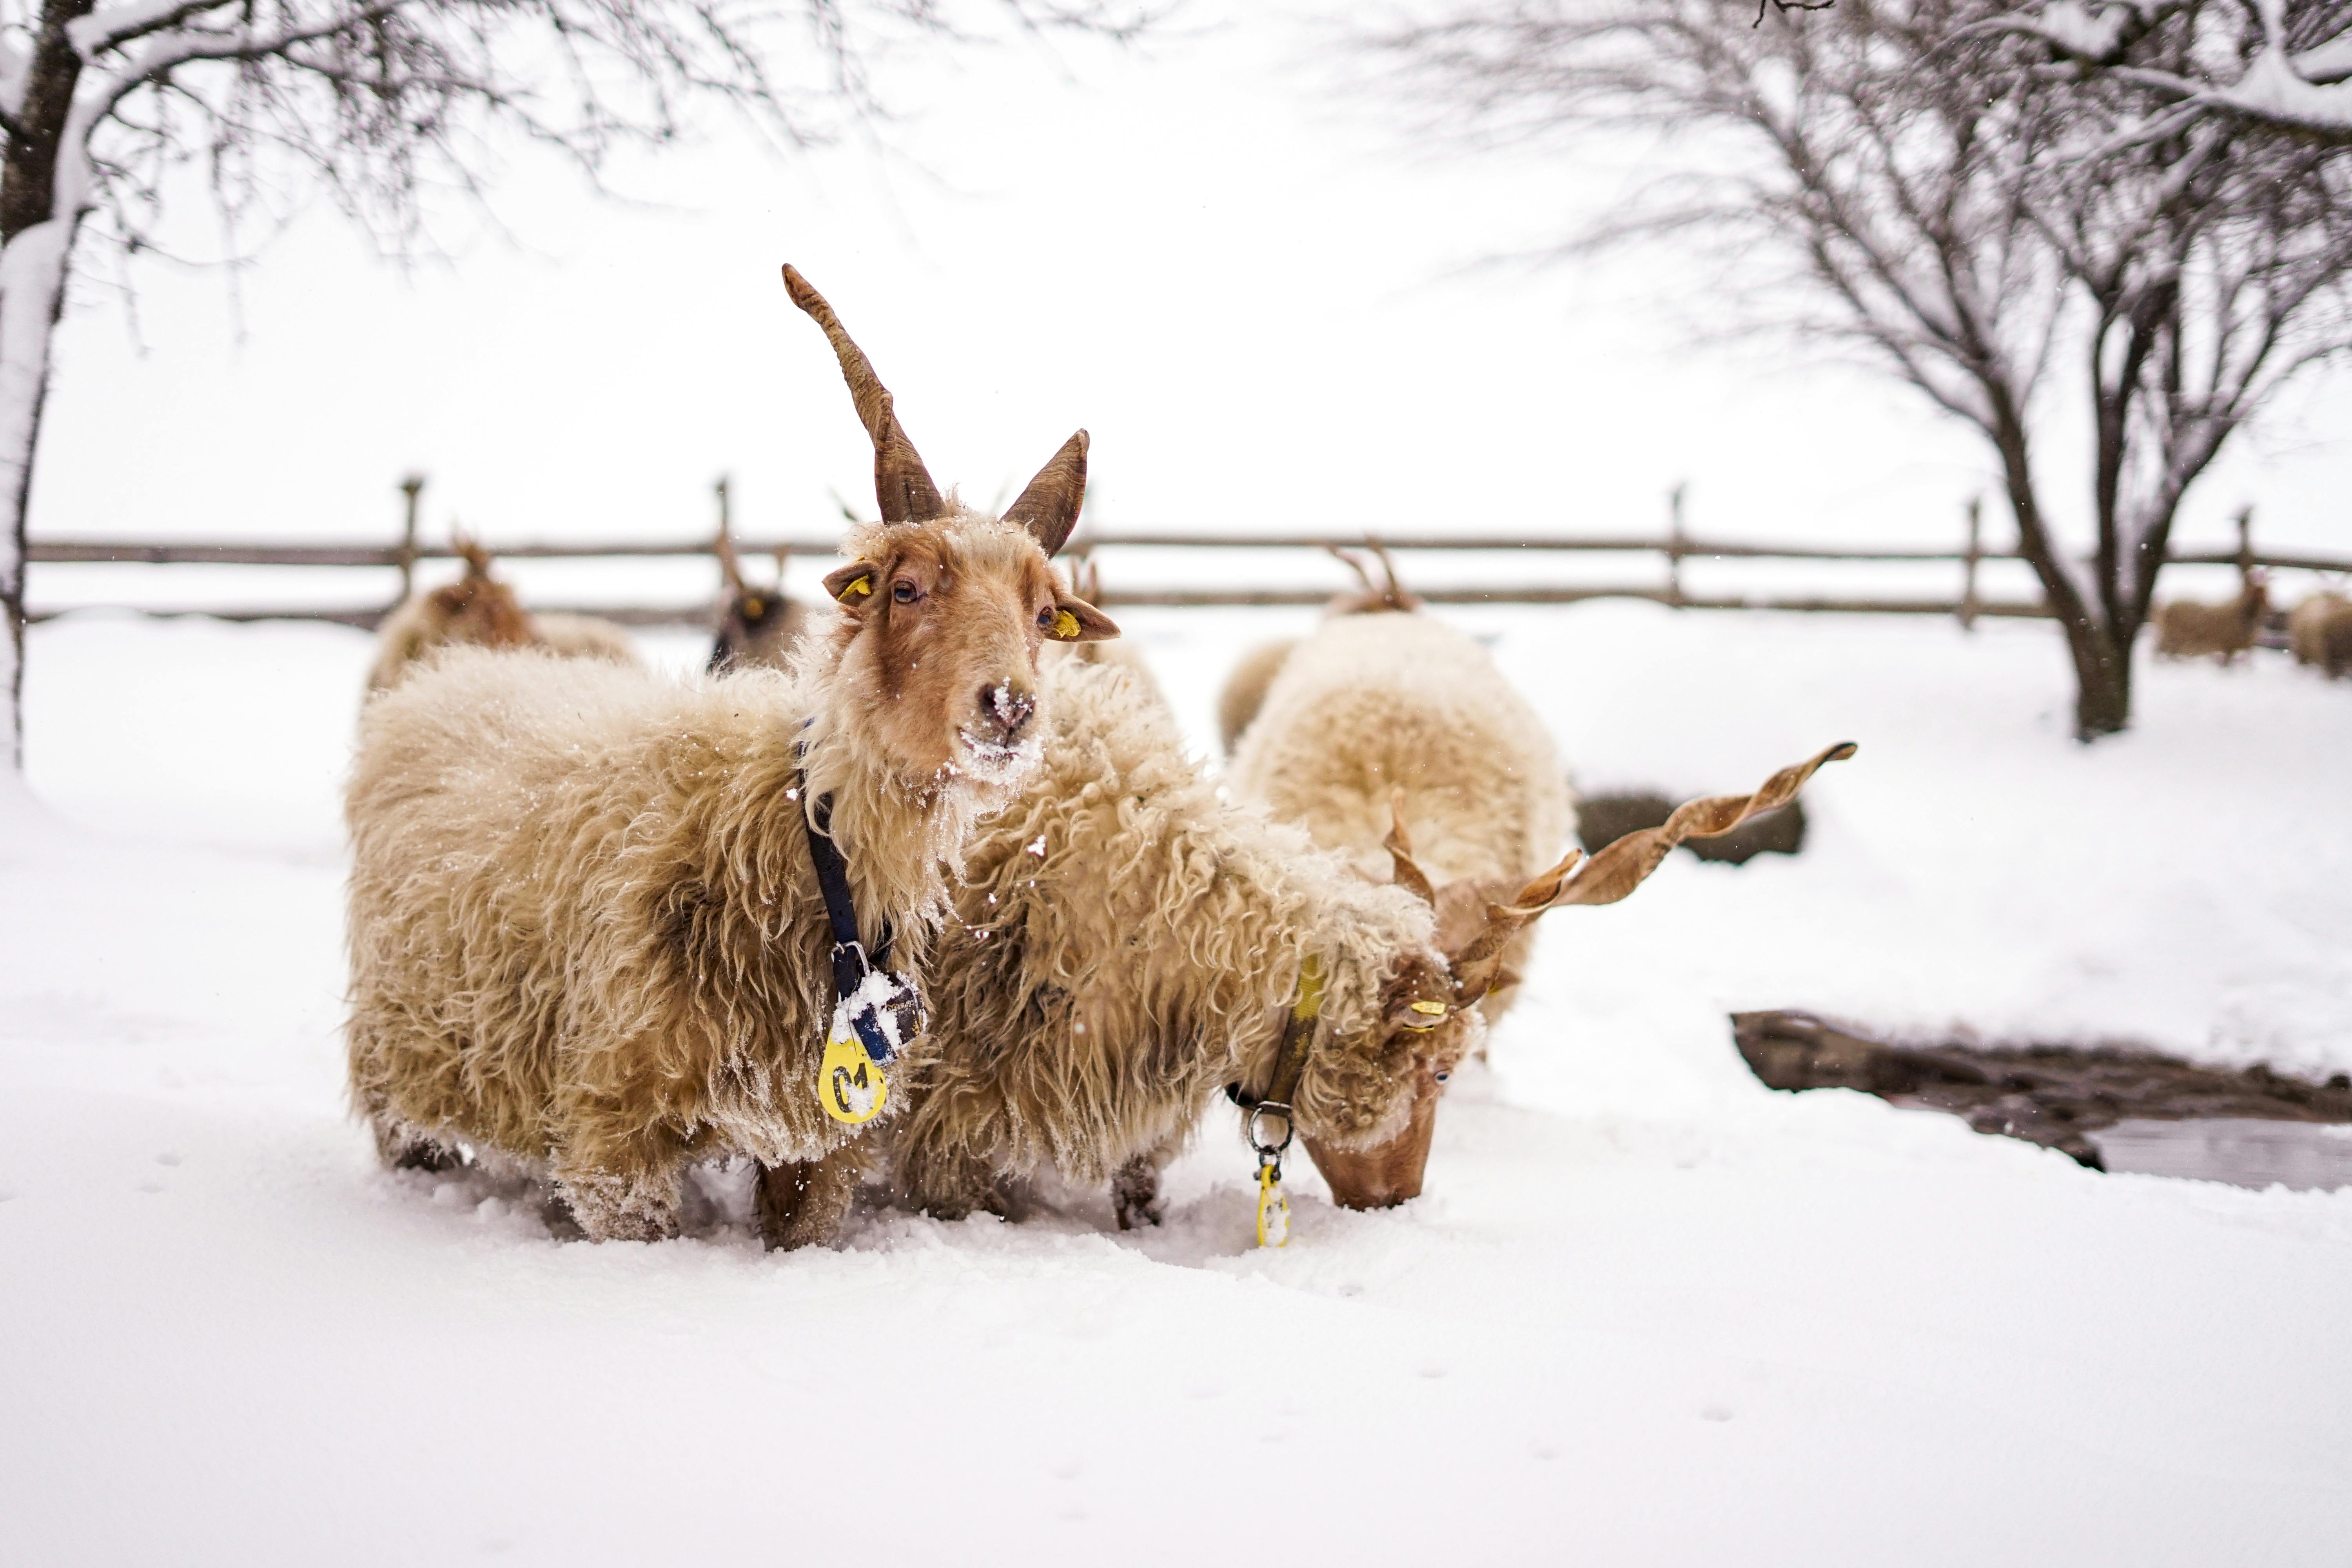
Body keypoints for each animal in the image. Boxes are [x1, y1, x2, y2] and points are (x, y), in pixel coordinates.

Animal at [344, 264, 1119, 1248]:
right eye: (905, 588)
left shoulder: (821, 1144)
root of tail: (456, 670)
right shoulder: (611, 1131)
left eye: (1045, 613)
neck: (797, 838)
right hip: (398, 1064)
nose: (1009, 707)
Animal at [2153, 572, 2269, 663]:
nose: (2268, 609)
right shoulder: (2229, 646)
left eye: (2266, 596)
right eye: (2260, 597)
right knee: (2158, 651)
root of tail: (2167, 609)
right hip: (2172, 638)